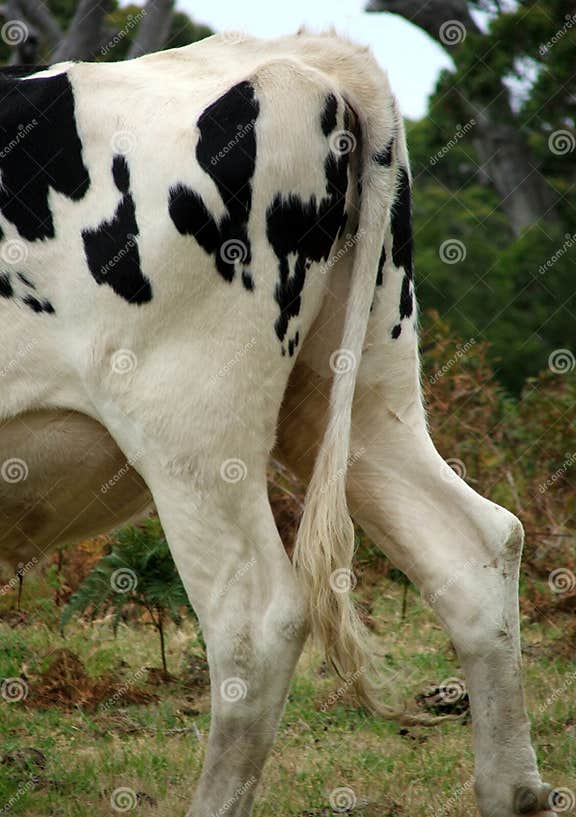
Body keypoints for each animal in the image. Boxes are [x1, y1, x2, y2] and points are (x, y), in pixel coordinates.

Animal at [0, 29, 559, 817]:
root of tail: (300, 55)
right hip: (361, 391)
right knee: (474, 545)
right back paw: (512, 789)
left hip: (191, 427)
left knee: (256, 621)